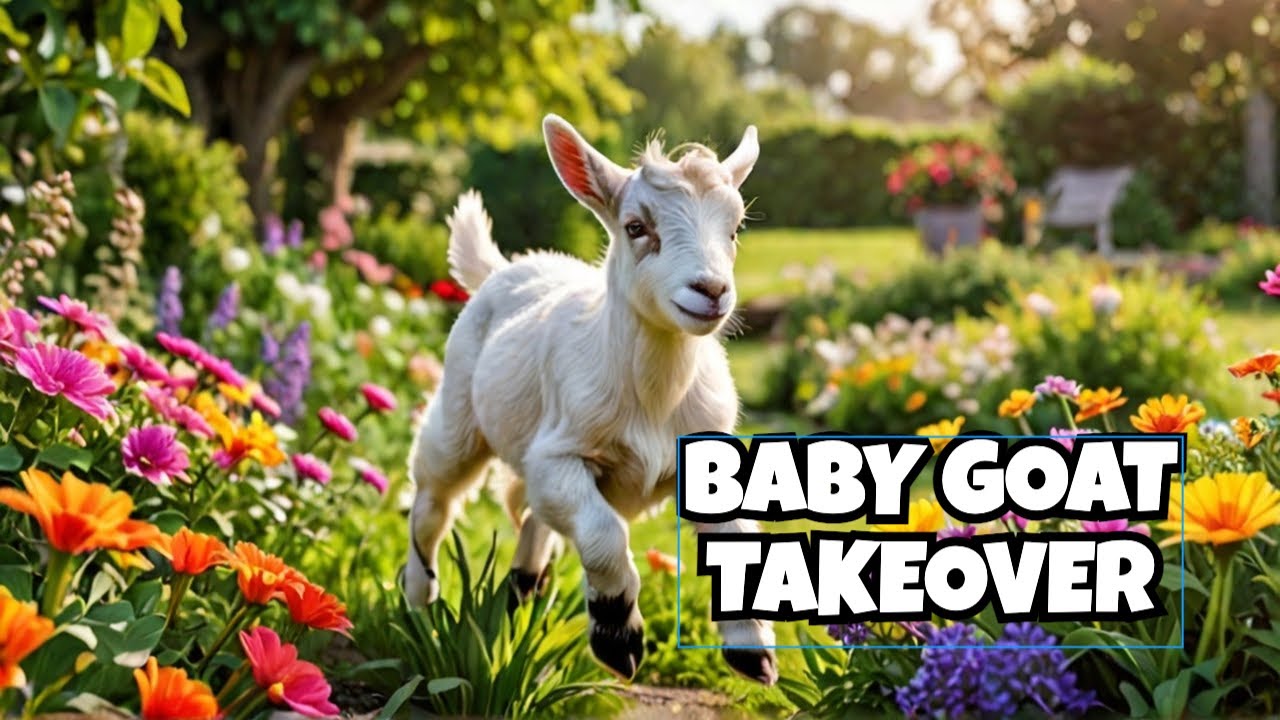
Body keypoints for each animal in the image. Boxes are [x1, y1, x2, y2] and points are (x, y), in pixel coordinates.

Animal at [404, 115, 776, 684]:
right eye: (636, 227)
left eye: (734, 229)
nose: (711, 291)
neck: (653, 398)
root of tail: (506, 267)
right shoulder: (560, 454)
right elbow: (603, 535)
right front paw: (618, 639)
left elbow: (737, 539)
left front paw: (752, 650)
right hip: (459, 417)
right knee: (433, 496)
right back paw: (418, 596)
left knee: (533, 517)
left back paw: (522, 591)